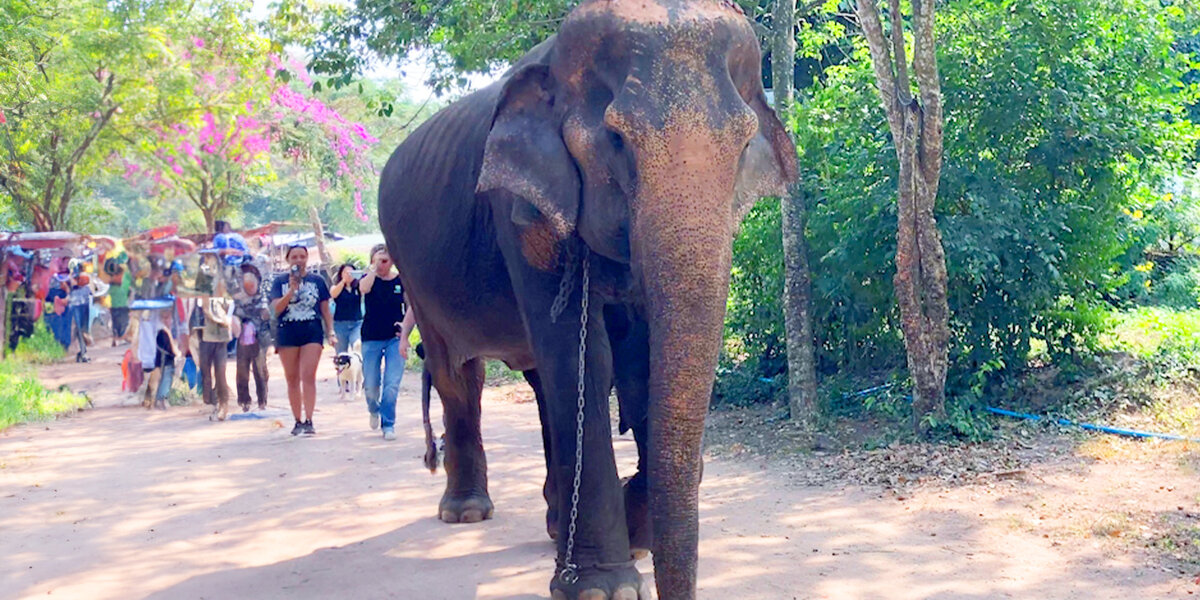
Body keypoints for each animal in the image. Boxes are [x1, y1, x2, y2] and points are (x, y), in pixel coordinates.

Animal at [377, 1, 797, 598]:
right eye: (616, 140)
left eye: (742, 146)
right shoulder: (517, 208)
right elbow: (587, 360)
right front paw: (606, 587)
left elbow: (640, 364)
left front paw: (636, 534)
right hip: (410, 268)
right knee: (458, 372)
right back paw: (466, 512)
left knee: (538, 382)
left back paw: (557, 526)